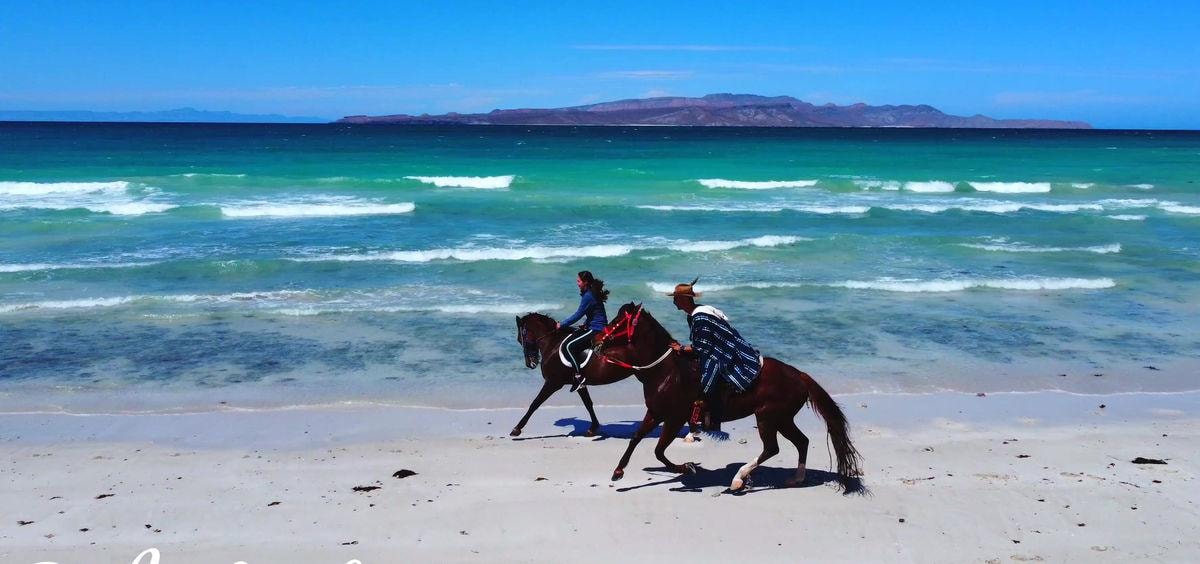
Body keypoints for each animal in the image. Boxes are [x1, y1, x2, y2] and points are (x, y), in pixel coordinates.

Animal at [511, 310, 660, 437]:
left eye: (521, 338)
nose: (530, 363)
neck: (553, 344)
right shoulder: (579, 384)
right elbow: (588, 403)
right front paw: (593, 428)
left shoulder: (553, 382)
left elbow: (535, 403)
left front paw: (517, 429)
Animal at [605, 302, 863, 491]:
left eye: (617, 322)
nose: (599, 339)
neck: (666, 370)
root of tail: (800, 375)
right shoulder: (655, 413)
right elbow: (636, 438)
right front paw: (618, 472)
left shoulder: (674, 418)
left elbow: (659, 450)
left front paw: (686, 468)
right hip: (782, 419)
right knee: (802, 442)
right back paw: (795, 478)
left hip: (767, 416)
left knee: (772, 448)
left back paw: (739, 479)